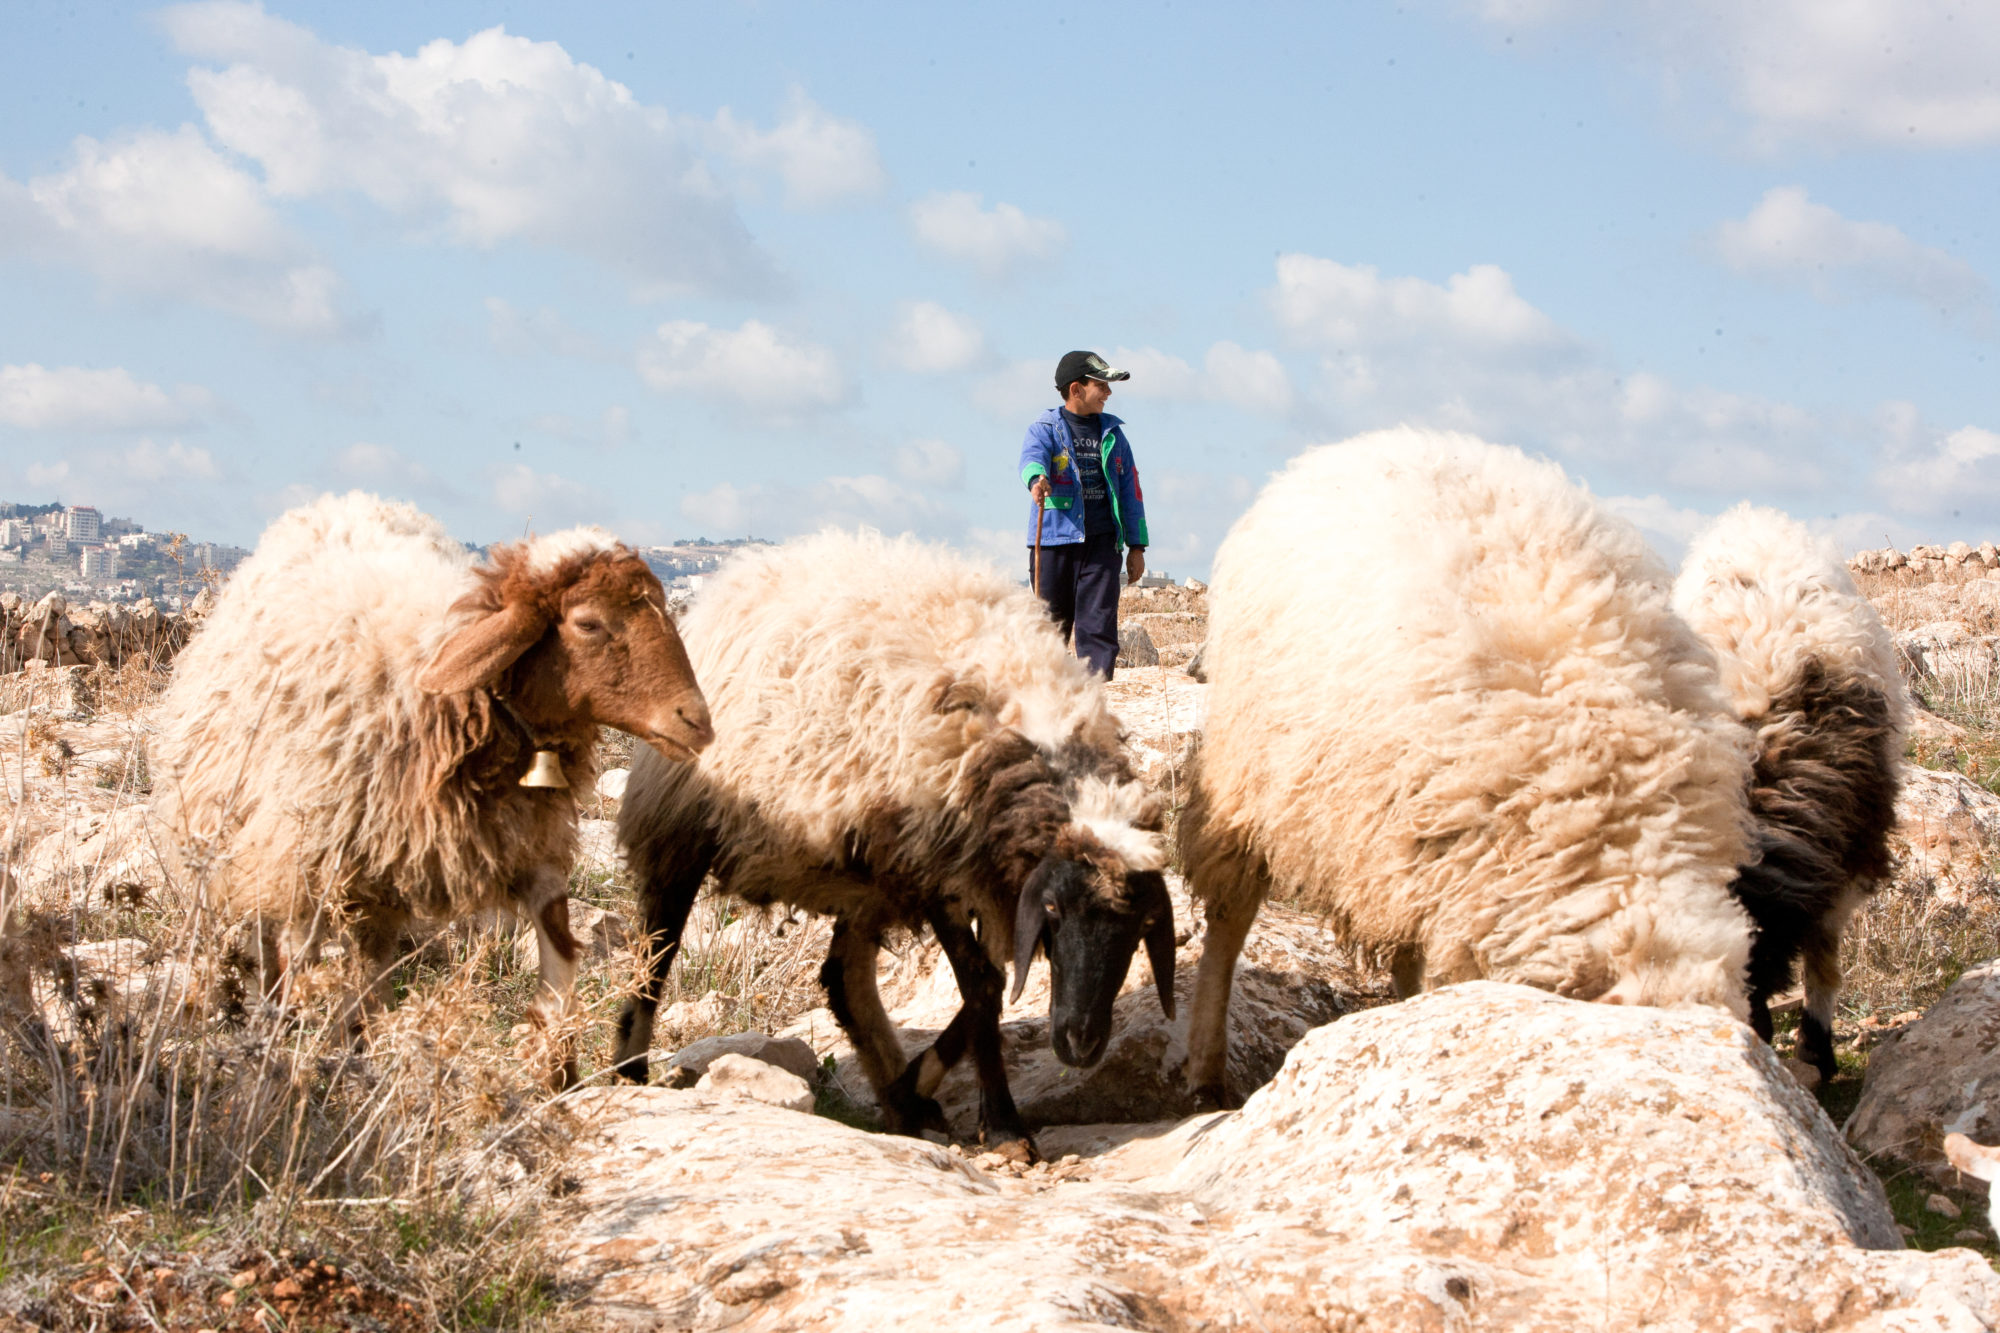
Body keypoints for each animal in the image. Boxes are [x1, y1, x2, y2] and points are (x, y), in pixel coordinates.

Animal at [153, 492, 713, 1087]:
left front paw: (557, 1067)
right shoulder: (308, 854)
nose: (697, 722)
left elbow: (559, 942)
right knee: (274, 940)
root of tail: (338, 503)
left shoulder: (527, 842)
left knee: (368, 962)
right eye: (587, 623)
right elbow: (300, 956)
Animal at [611, 529, 1175, 1161]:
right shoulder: (934, 858)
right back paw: (627, 1071)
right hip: (680, 826)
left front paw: (918, 1089)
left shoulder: (968, 872)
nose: (1080, 1044)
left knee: (843, 979)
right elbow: (984, 987)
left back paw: (900, 1099)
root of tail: (741, 578)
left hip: (865, 870)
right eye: (1053, 909)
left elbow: (987, 985)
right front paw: (1004, 1126)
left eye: (1141, 928)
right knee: (654, 958)